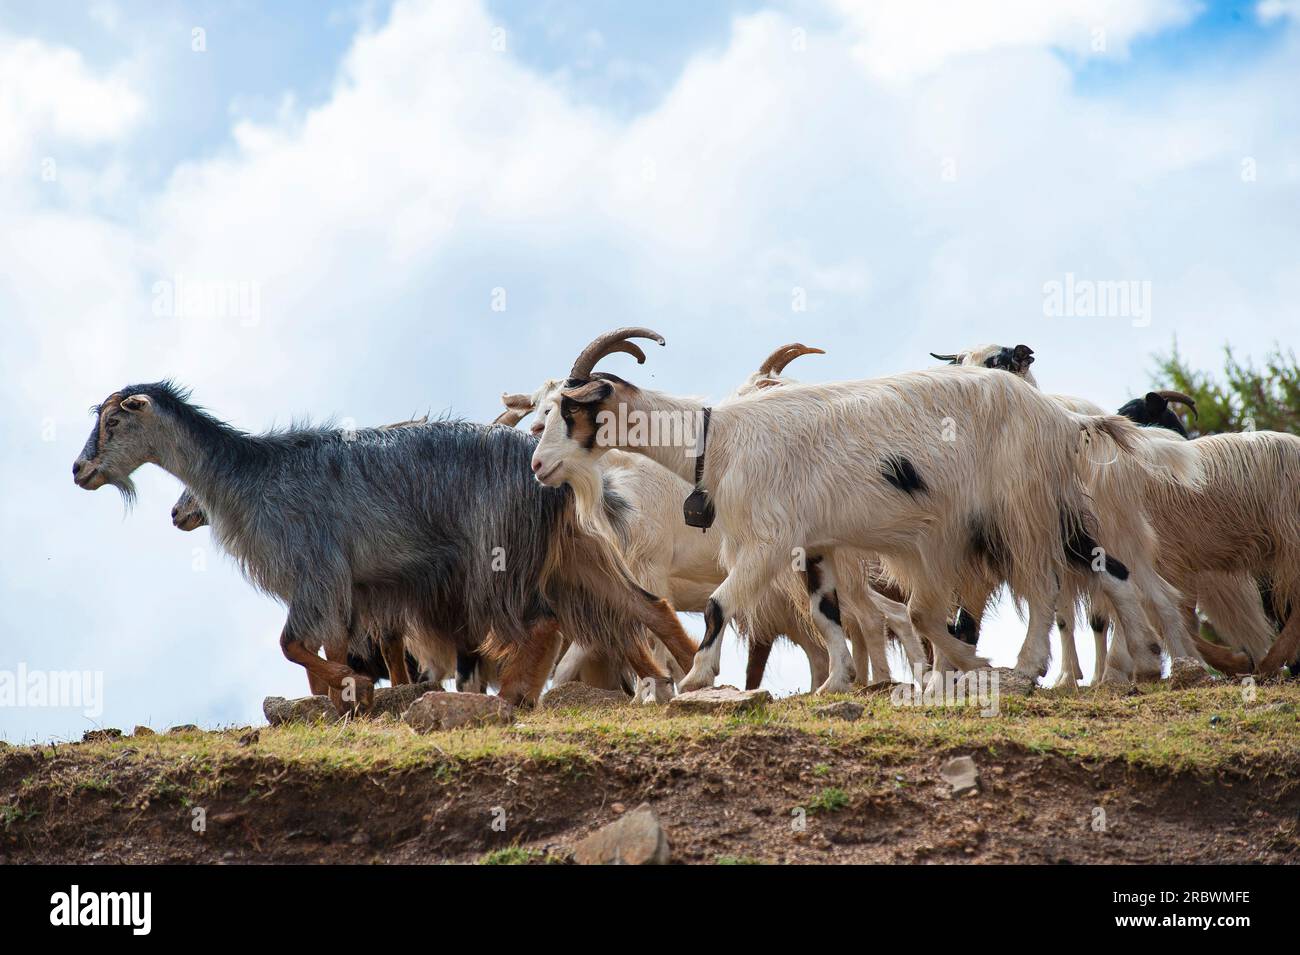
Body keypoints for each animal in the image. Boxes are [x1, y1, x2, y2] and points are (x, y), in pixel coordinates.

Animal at [73, 383, 697, 710]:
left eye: (112, 421)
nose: (79, 470)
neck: (252, 474)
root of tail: (550, 467)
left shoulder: (317, 572)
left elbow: (293, 646)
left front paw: (354, 685)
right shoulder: (356, 589)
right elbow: (323, 647)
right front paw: (348, 694)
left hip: (498, 557)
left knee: (543, 622)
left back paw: (517, 694)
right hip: (572, 554)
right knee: (646, 607)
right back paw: (690, 673)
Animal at [531, 329, 1167, 694]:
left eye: (571, 408)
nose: (538, 465)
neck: (718, 437)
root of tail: (1062, 417)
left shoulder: (768, 541)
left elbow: (716, 605)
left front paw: (695, 677)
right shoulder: (814, 544)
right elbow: (829, 613)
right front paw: (837, 682)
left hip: (1019, 505)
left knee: (1046, 586)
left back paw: (1034, 667)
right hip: (1046, 507)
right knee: (1105, 567)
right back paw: (1144, 660)